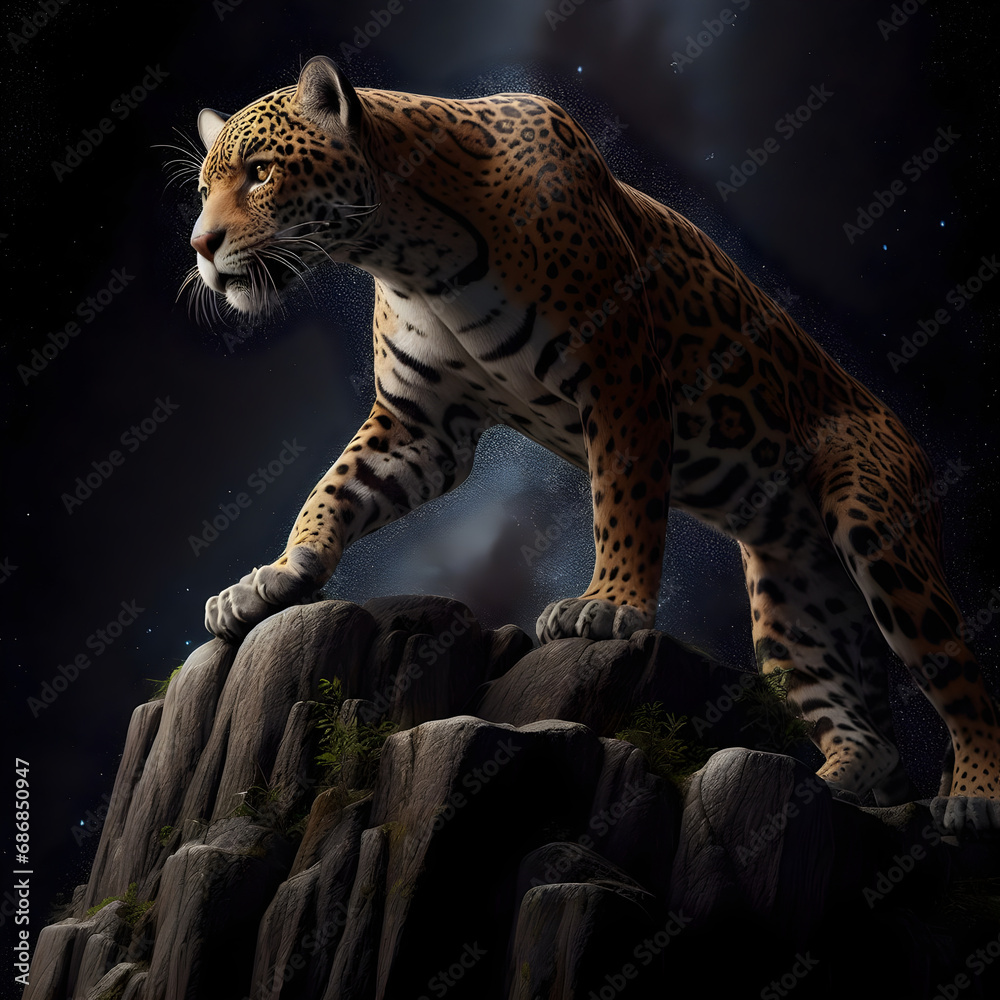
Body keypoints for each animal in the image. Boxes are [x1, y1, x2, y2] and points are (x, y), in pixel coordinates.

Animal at [183, 55, 1000, 834]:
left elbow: (624, 505)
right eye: (203, 187)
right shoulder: (423, 426)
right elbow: (334, 488)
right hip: (793, 609)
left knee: (961, 676)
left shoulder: (621, 377)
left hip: (879, 527)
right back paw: (821, 786)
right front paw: (275, 577)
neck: (406, 250)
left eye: (261, 171)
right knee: (872, 737)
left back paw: (973, 797)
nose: (200, 246)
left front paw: (608, 607)